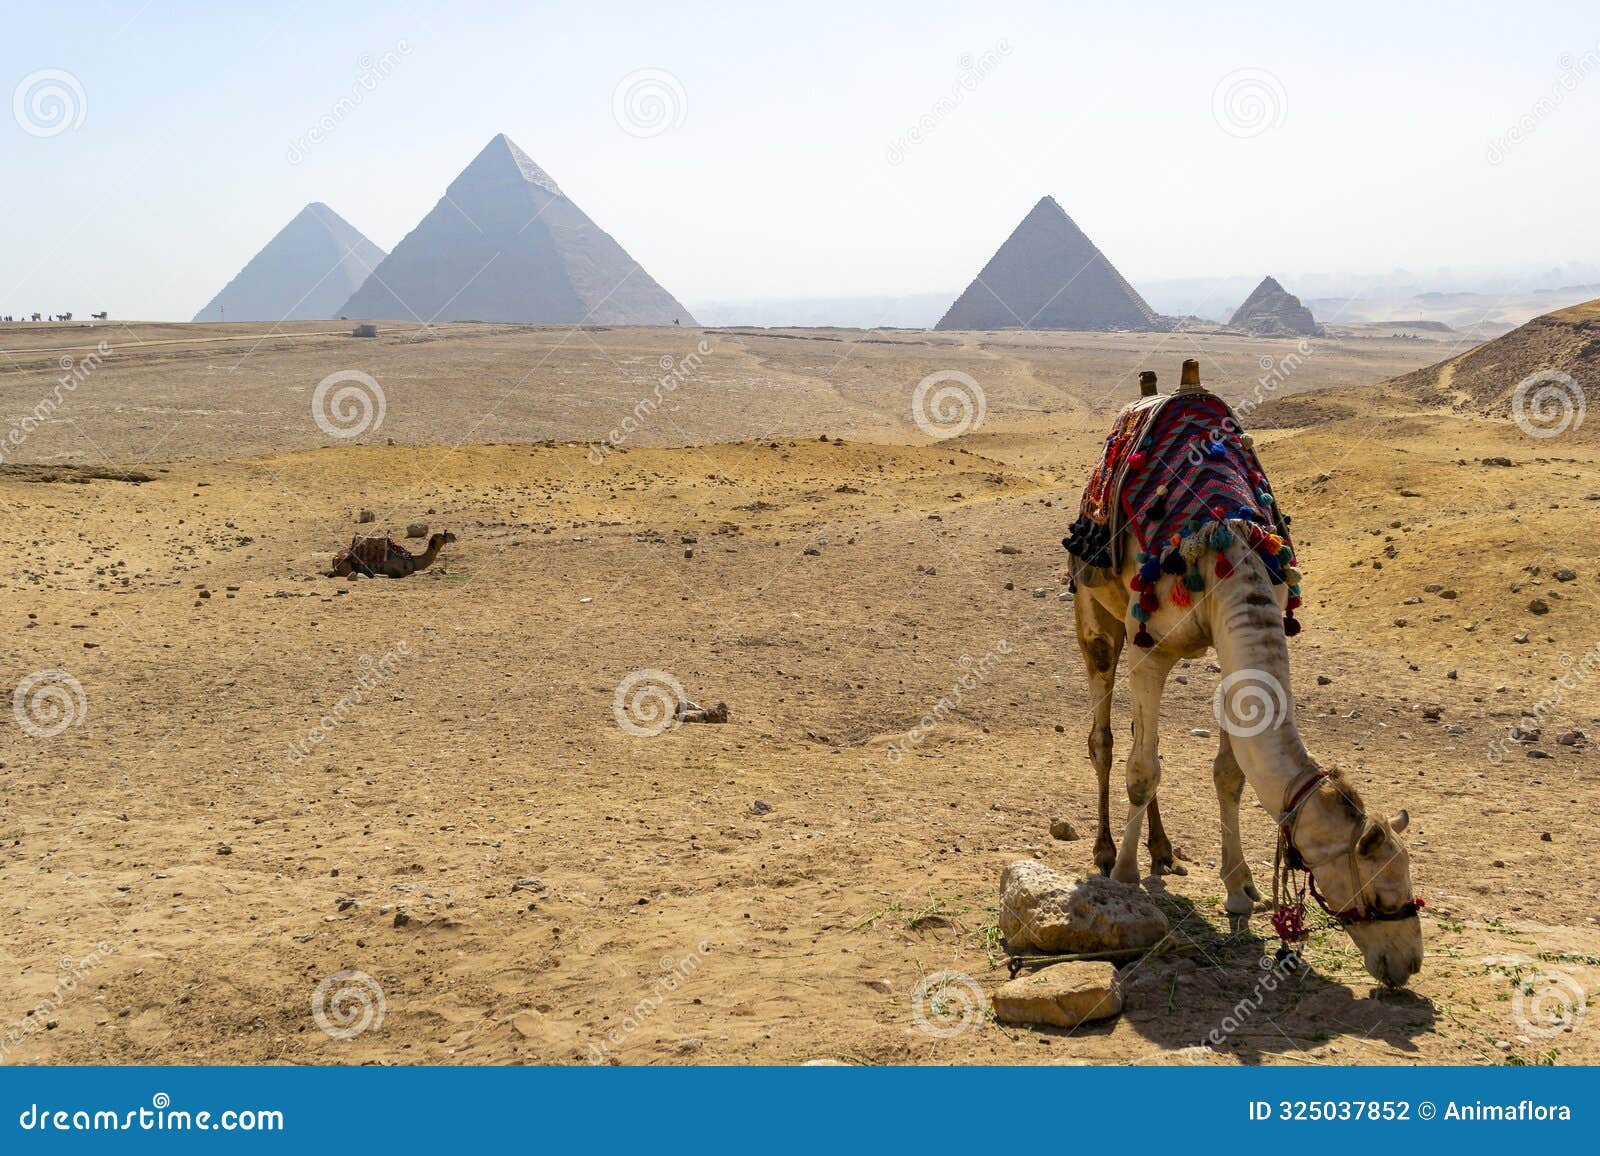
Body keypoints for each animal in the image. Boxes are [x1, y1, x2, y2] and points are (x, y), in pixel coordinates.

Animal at [1067, 360, 1422, 988]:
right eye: (1380, 892)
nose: (1408, 964)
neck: (1226, 550)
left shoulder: (1233, 651)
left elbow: (1227, 773)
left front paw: (1239, 890)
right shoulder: (1149, 651)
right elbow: (1141, 771)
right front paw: (1127, 878)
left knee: (1137, 740)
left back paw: (1164, 850)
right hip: (1098, 618)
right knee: (1106, 739)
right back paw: (1109, 852)